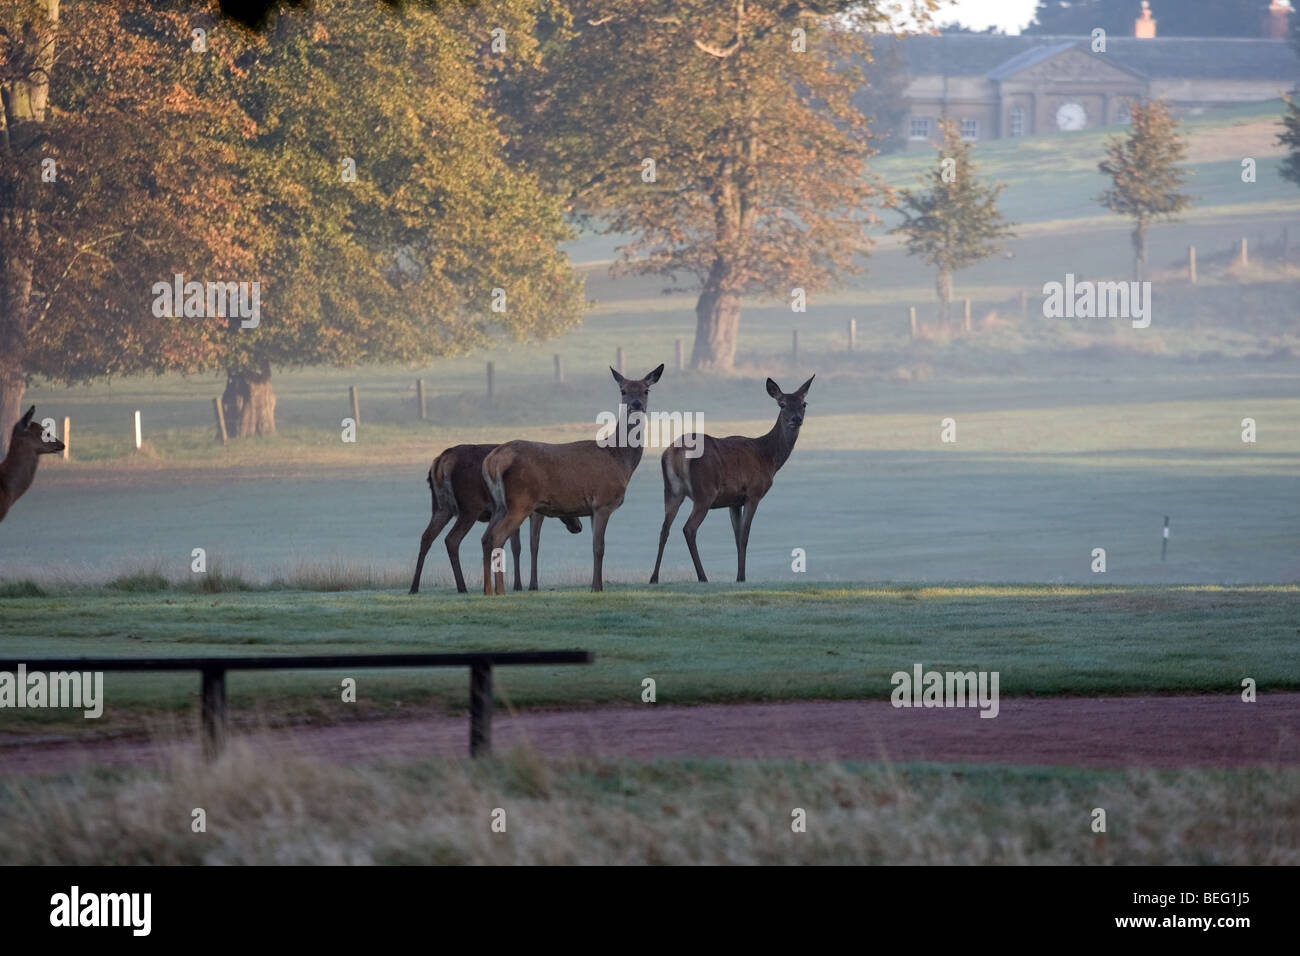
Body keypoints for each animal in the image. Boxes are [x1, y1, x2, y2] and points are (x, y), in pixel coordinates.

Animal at [409, 443, 581, 594]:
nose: (579, 526)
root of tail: (441, 462)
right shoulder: (534, 511)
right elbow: (534, 544)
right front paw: (532, 585)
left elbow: (515, 546)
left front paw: (517, 584)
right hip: (469, 508)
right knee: (452, 539)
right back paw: (462, 587)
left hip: (441, 507)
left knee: (426, 537)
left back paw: (414, 587)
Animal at [481, 364, 664, 594]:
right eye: (623, 390)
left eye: (646, 390)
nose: (636, 404)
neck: (620, 459)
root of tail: (493, 460)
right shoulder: (603, 501)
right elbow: (599, 547)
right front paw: (597, 587)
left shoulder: (592, 509)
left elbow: (594, 545)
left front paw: (596, 584)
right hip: (520, 501)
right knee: (498, 536)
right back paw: (501, 590)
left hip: (498, 504)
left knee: (486, 538)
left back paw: (487, 590)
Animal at [650, 375, 813, 584]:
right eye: (782, 404)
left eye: (803, 403)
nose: (796, 419)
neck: (768, 457)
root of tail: (675, 453)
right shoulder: (753, 493)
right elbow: (744, 536)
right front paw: (741, 577)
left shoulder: (733, 501)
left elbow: (736, 537)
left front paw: (739, 575)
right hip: (705, 492)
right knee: (689, 528)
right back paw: (703, 577)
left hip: (672, 491)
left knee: (664, 529)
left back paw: (654, 578)